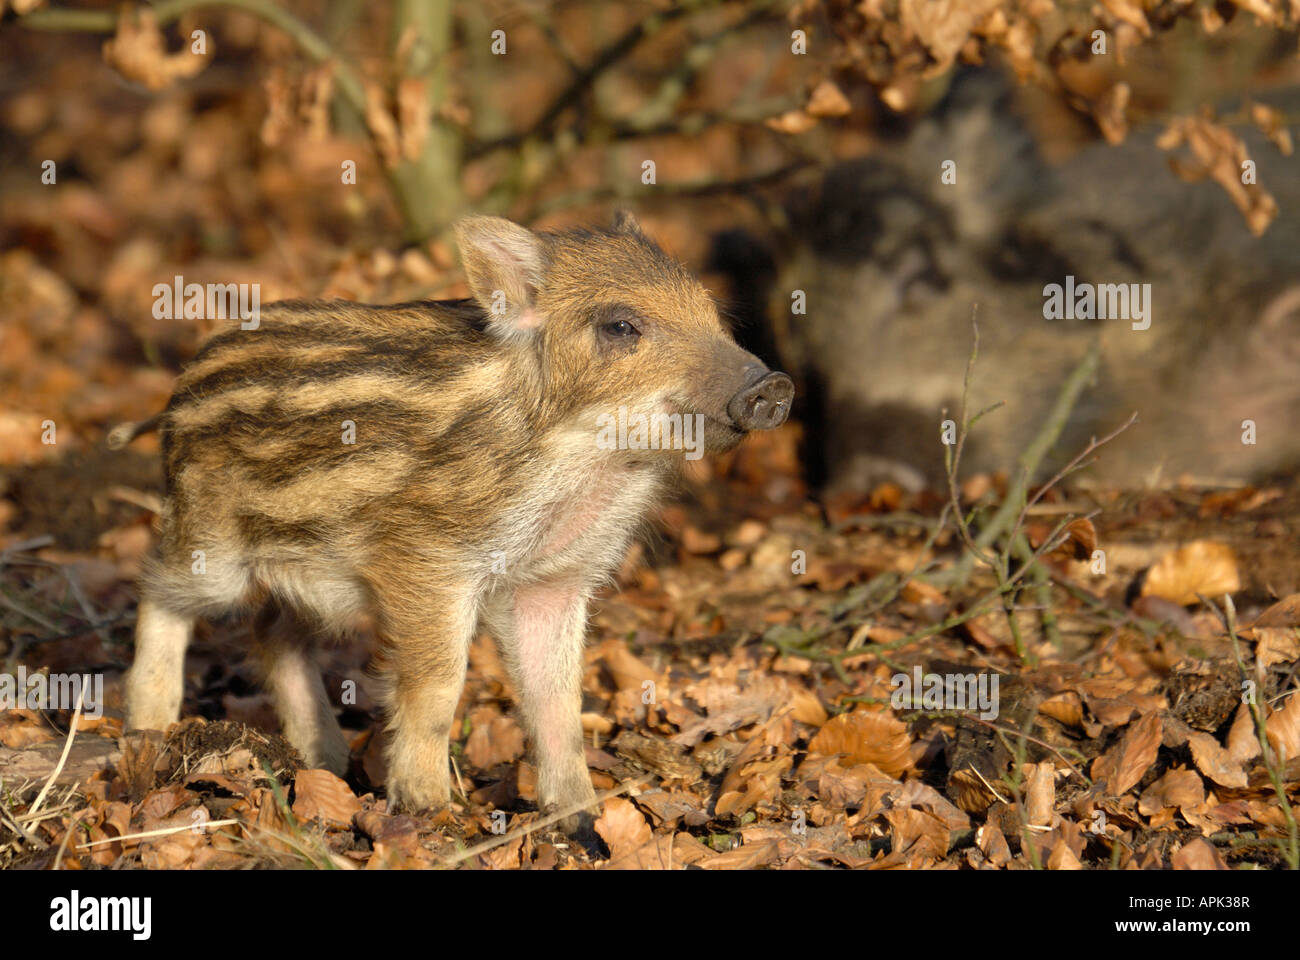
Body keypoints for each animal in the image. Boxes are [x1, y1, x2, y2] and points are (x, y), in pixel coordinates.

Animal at [122, 212, 793, 831]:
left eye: (709, 310)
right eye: (621, 326)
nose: (773, 386)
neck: (588, 459)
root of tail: (180, 389)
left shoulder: (553, 580)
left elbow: (558, 698)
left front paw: (582, 820)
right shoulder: (429, 562)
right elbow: (440, 686)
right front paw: (426, 810)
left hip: (315, 574)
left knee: (273, 631)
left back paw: (326, 761)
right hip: (212, 547)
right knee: (158, 588)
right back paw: (148, 727)